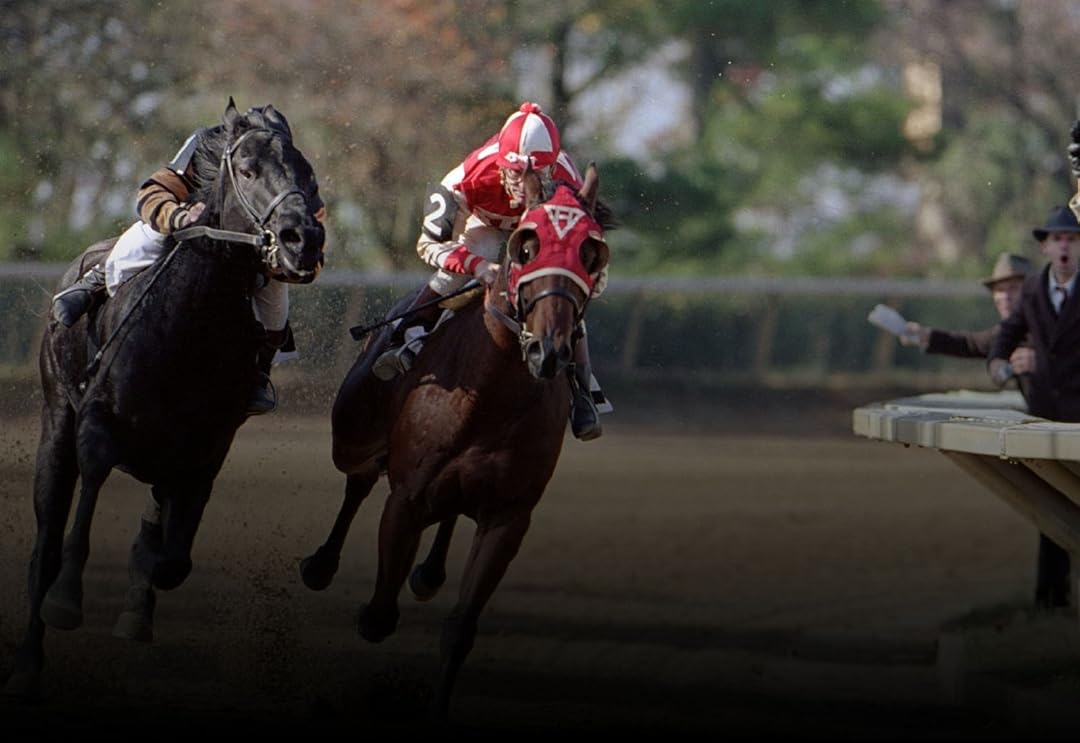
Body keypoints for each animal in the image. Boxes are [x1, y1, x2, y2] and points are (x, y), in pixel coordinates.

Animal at [4, 99, 326, 699]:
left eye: (309, 175)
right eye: (247, 171)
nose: (303, 239)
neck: (187, 333)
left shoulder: (205, 450)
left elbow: (170, 558)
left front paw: (139, 597)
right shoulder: (97, 421)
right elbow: (85, 504)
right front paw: (66, 601)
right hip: (54, 420)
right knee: (45, 546)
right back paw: (26, 663)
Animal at [299, 163, 611, 718]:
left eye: (590, 253)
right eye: (526, 246)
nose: (549, 351)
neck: (491, 396)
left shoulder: (509, 517)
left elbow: (461, 630)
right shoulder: (406, 499)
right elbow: (378, 617)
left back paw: (428, 572)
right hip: (353, 434)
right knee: (359, 481)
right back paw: (321, 564)